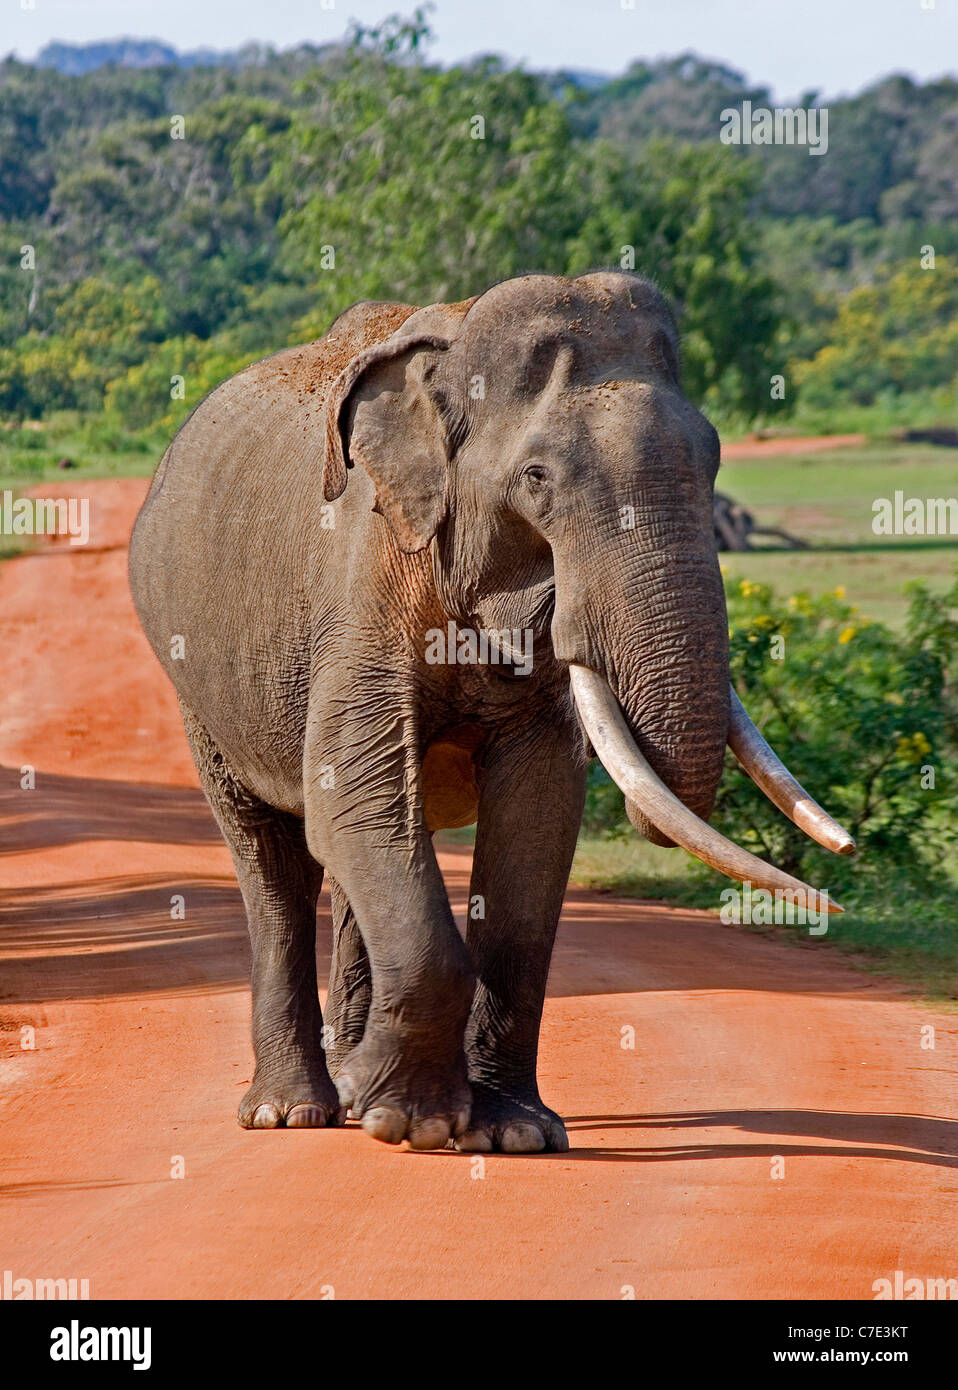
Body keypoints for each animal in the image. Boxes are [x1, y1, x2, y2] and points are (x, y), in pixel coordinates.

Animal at [129, 271, 854, 1154]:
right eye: (537, 478)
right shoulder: (367, 582)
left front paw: (511, 1132)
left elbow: (533, 816)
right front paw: (413, 1123)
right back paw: (293, 1110)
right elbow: (357, 795)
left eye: (713, 457)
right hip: (197, 682)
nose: (844, 872)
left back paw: (352, 1076)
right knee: (276, 856)